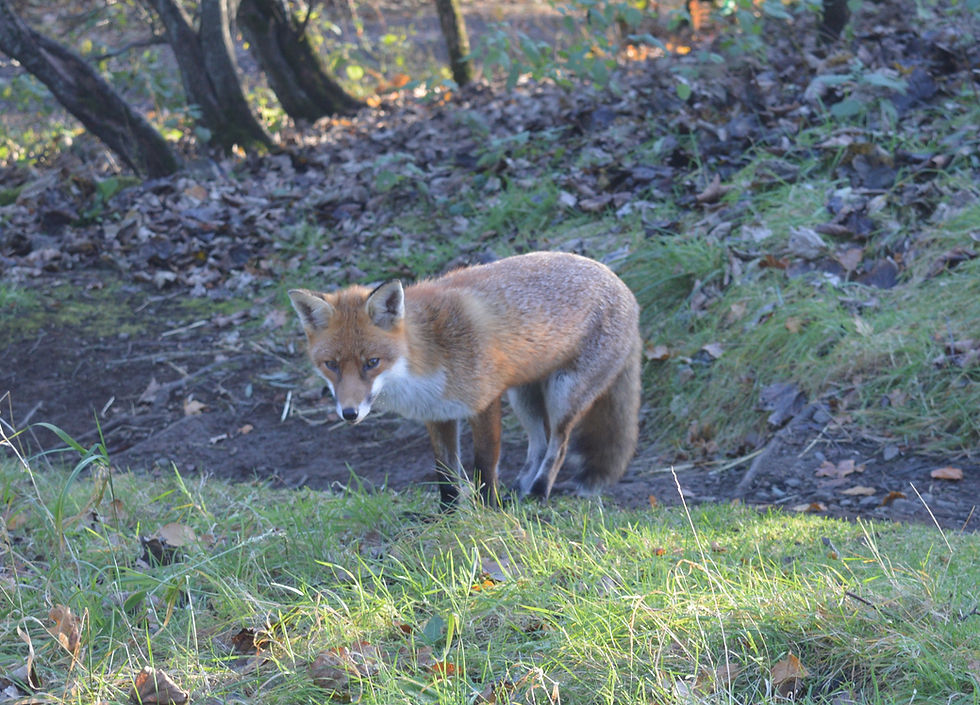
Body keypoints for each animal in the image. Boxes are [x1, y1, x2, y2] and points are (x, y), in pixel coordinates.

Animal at [288, 251, 641, 509]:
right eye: (331, 365)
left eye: (372, 362)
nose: (349, 414)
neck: (427, 360)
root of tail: (625, 288)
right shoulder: (437, 414)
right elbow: (445, 474)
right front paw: (447, 515)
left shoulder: (485, 402)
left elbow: (484, 465)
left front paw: (488, 510)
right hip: (524, 398)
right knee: (538, 446)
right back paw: (519, 491)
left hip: (563, 395)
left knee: (559, 446)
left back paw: (538, 493)